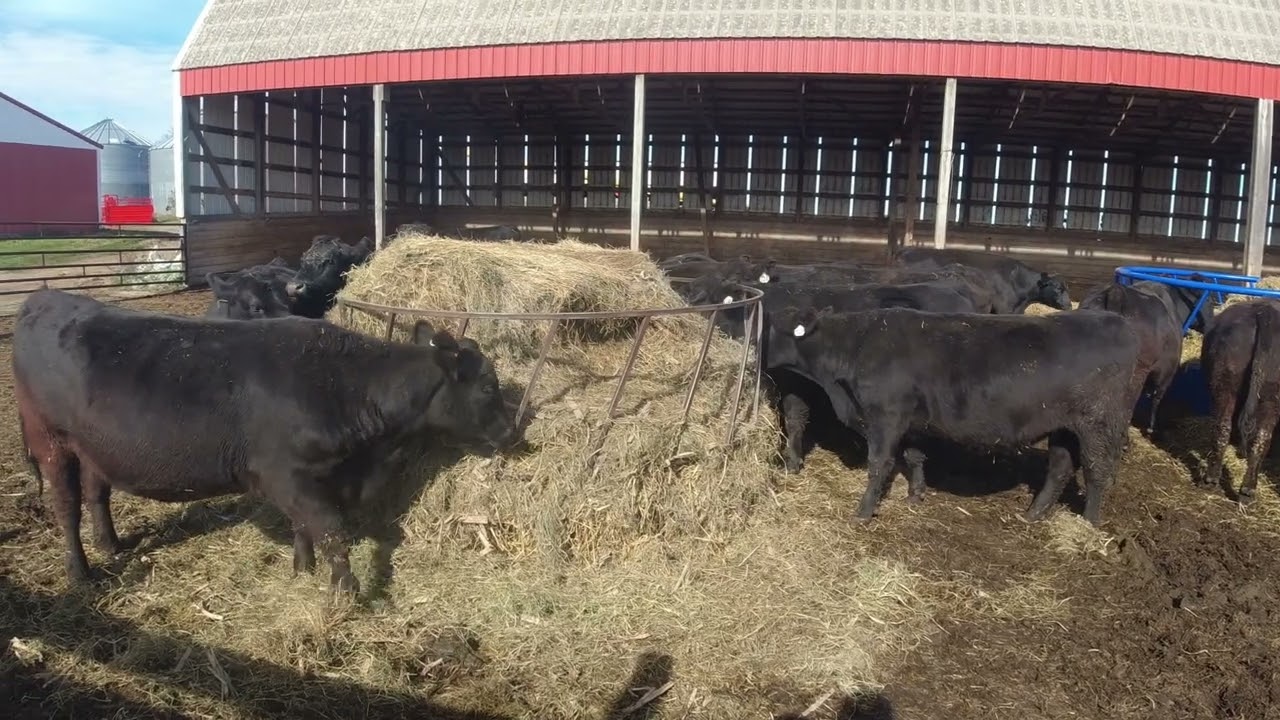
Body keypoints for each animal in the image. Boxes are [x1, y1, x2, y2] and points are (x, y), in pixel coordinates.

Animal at [13, 289, 517, 594]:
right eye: (488, 388)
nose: (512, 433)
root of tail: (45, 298)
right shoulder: (285, 474)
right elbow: (331, 530)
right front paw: (346, 593)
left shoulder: (314, 477)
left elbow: (306, 526)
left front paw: (302, 569)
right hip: (49, 439)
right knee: (67, 507)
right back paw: (80, 573)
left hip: (92, 445)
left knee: (97, 492)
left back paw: (111, 545)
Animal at [764, 305, 1141, 525]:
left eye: (768, 329)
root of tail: (1117, 322)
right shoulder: (911, 423)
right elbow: (914, 457)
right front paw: (915, 495)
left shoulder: (885, 418)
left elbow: (879, 465)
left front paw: (863, 513)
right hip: (1063, 426)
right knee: (1060, 469)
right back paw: (1033, 515)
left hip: (1098, 423)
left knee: (1097, 470)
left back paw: (1090, 522)